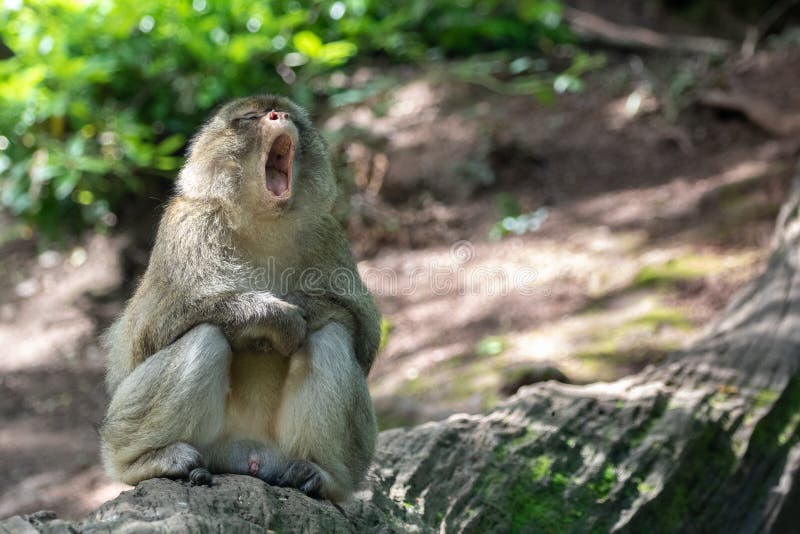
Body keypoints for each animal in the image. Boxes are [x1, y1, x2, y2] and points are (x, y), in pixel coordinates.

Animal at [100, 95, 381, 503]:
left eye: (288, 115)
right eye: (252, 117)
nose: (277, 116)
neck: (262, 221)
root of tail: (248, 456)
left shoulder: (327, 233)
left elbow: (362, 333)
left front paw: (308, 307)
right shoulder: (188, 226)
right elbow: (151, 333)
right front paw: (274, 317)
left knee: (330, 336)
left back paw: (322, 476)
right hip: (140, 427)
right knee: (205, 335)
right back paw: (146, 462)